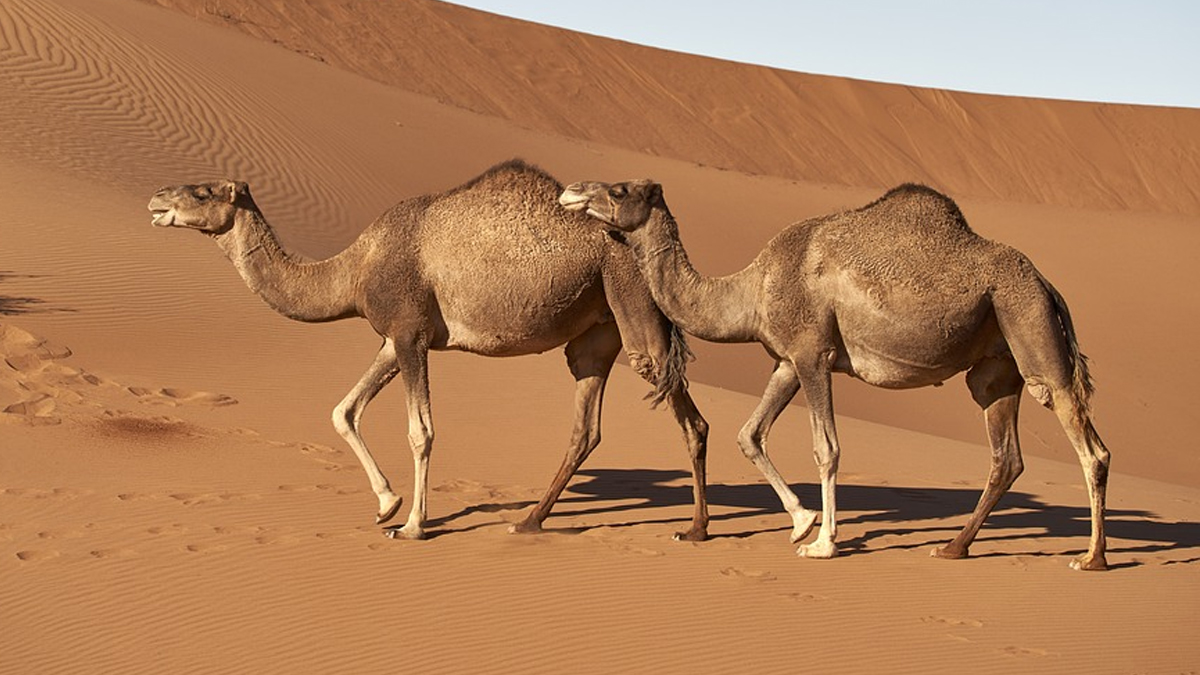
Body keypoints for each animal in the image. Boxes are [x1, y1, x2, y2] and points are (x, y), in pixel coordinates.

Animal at [146, 160, 711, 541]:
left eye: (203, 191)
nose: (157, 199)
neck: (353, 270)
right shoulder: (393, 337)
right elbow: (342, 410)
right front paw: (386, 504)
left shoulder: (410, 333)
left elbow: (420, 431)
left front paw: (413, 525)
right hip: (598, 330)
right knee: (586, 427)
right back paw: (529, 521)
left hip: (633, 304)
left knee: (687, 414)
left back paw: (697, 529)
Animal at [560, 178, 1111, 570]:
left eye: (618, 190)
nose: (570, 191)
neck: (751, 288)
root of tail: (1047, 285)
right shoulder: (785, 360)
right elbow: (748, 434)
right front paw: (802, 521)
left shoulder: (813, 353)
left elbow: (826, 448)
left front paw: (823, 543)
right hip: (998, 363)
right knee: (1006, 455)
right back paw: (954, 548)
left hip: (1030, 328)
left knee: (1091, 447)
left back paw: (1091, 558)